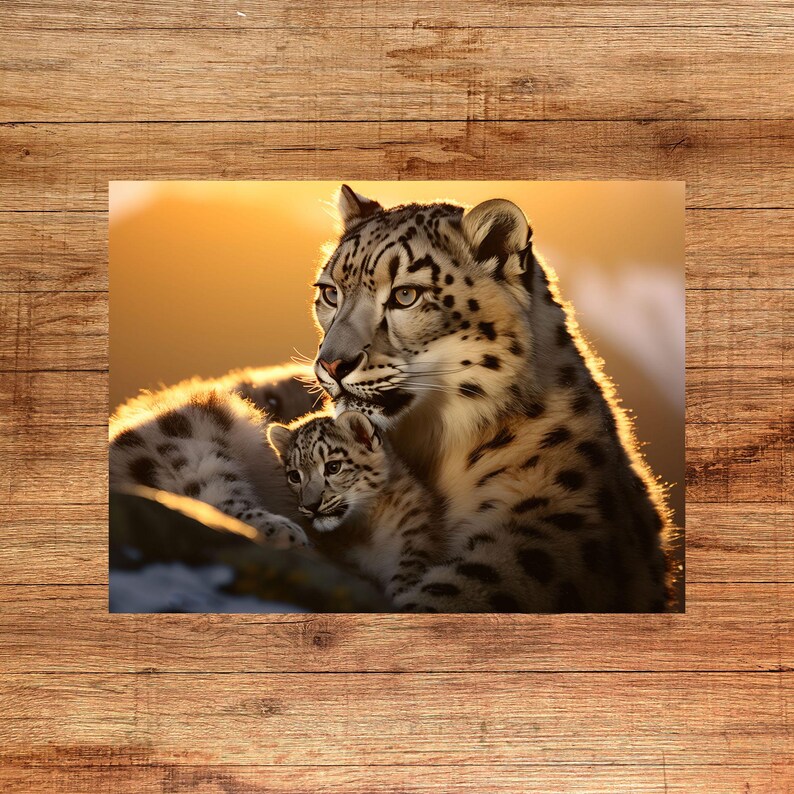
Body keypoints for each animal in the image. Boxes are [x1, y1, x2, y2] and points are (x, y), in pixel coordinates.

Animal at [307, 184, 676, 612]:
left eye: (405, 295)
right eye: (329, 292)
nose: (332, 363)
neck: (430, 447)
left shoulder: (542, 529)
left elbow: (465, 589)